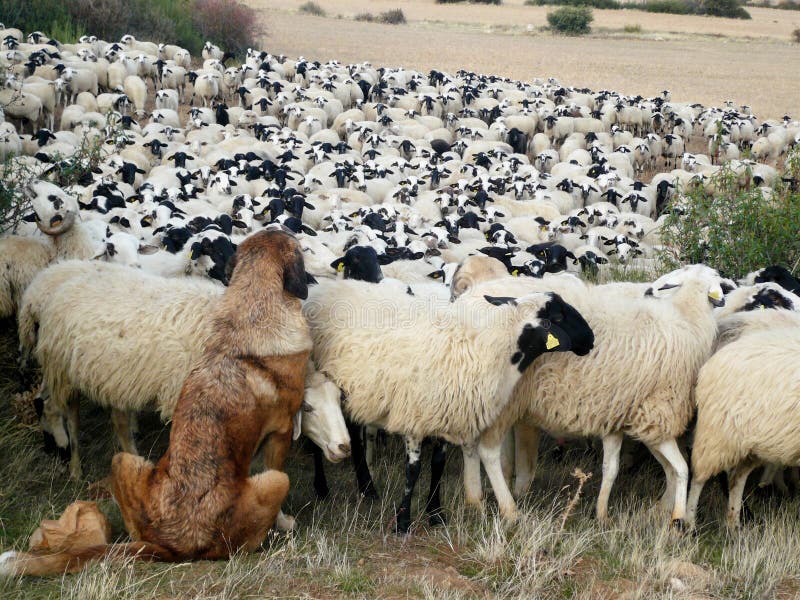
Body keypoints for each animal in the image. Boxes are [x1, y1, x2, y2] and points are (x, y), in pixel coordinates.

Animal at [304, 277, 594, 530]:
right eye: (558, 317)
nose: (590, 339)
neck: (484, 350)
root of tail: (322, 288)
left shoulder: (444, 415)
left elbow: (437, 465)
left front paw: (436, 515)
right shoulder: (415, 416)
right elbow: (413, 471)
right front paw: (403, 522)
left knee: (352, 432)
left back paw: (367, 488)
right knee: (319, 439)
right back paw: (325, 488)